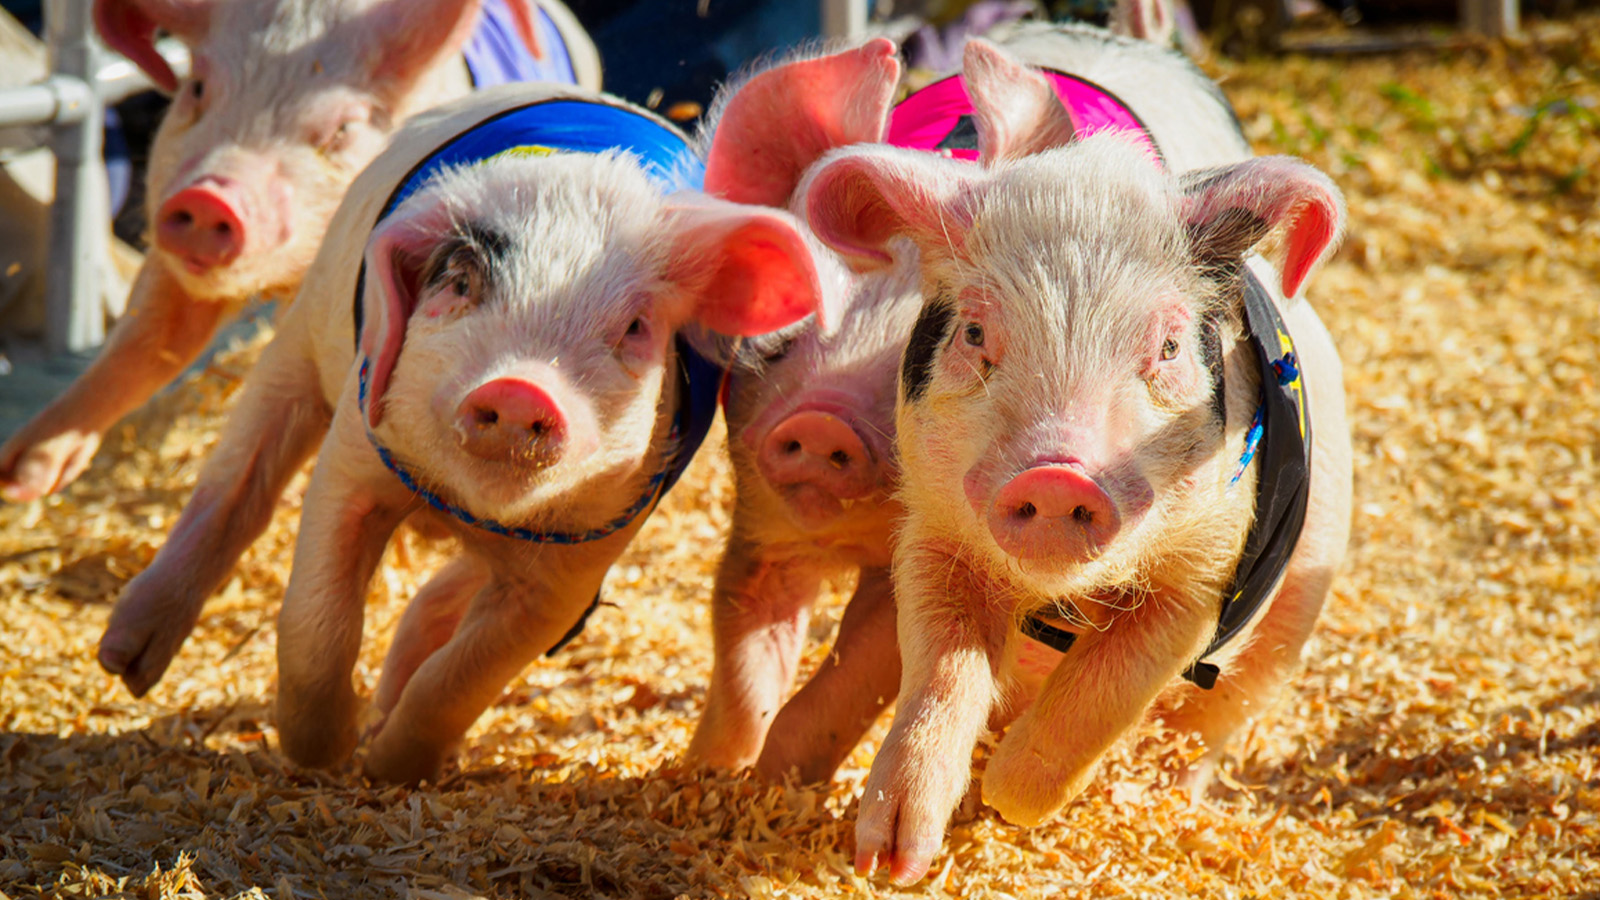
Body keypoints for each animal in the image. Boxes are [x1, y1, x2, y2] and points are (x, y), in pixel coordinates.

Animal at [93, 84, 839, 781]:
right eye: (459, 282)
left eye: (635, 327)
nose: (519, 386)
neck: (466, 504)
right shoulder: (357, 447)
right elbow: (316, 620)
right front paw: (324, 755)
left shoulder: (585, 553)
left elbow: (463, 678)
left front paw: (389, 765)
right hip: (301, 339)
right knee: (237, 481)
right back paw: (125, 663)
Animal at [799, 38, 1352, 885]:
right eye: (973, 334)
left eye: (1168, 346)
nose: (1056, 476)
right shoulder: (931, 525)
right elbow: (940, 668)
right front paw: (889, 856)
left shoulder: (1208, 566)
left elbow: (1111, 681)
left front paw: (1006, 801)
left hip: (1296, 612)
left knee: (1212, 722)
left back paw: (1161, 795)